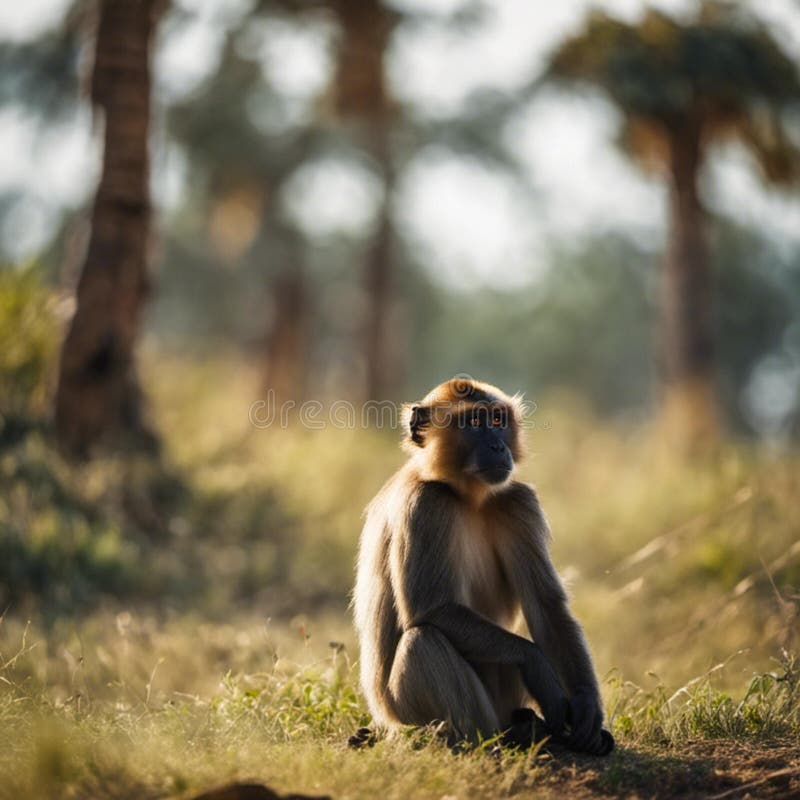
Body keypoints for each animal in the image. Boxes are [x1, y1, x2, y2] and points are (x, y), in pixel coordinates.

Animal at [352, 377, 613, 755]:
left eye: (498, 420)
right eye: (475, 422)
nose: (497, 446)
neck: (466, 497)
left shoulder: (516, 500)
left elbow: (546, 609)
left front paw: (586, 706)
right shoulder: (427, 503)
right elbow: (431, 609)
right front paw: (537, 665)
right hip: (405, 713)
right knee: (422, 640)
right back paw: (492, 740)